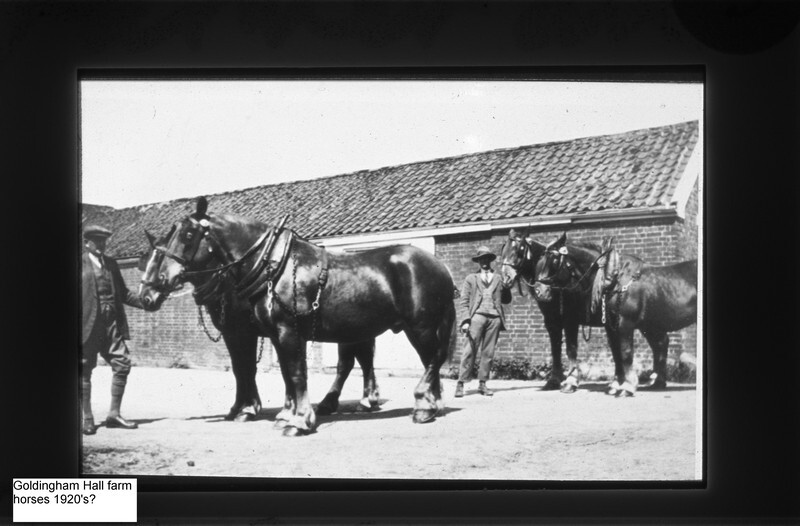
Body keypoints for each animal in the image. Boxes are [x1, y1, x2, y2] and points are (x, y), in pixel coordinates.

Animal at [139, 197, 455, 436]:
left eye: (188, 235)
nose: (148, 293)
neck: (271, 266)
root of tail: (439, 266)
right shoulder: (270, 334)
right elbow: (279, 374)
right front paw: (282, 414)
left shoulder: (282, 331)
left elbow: (292, 373)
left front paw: (297, 420)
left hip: (421, 326)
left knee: (433, 359)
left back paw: (422, 405)